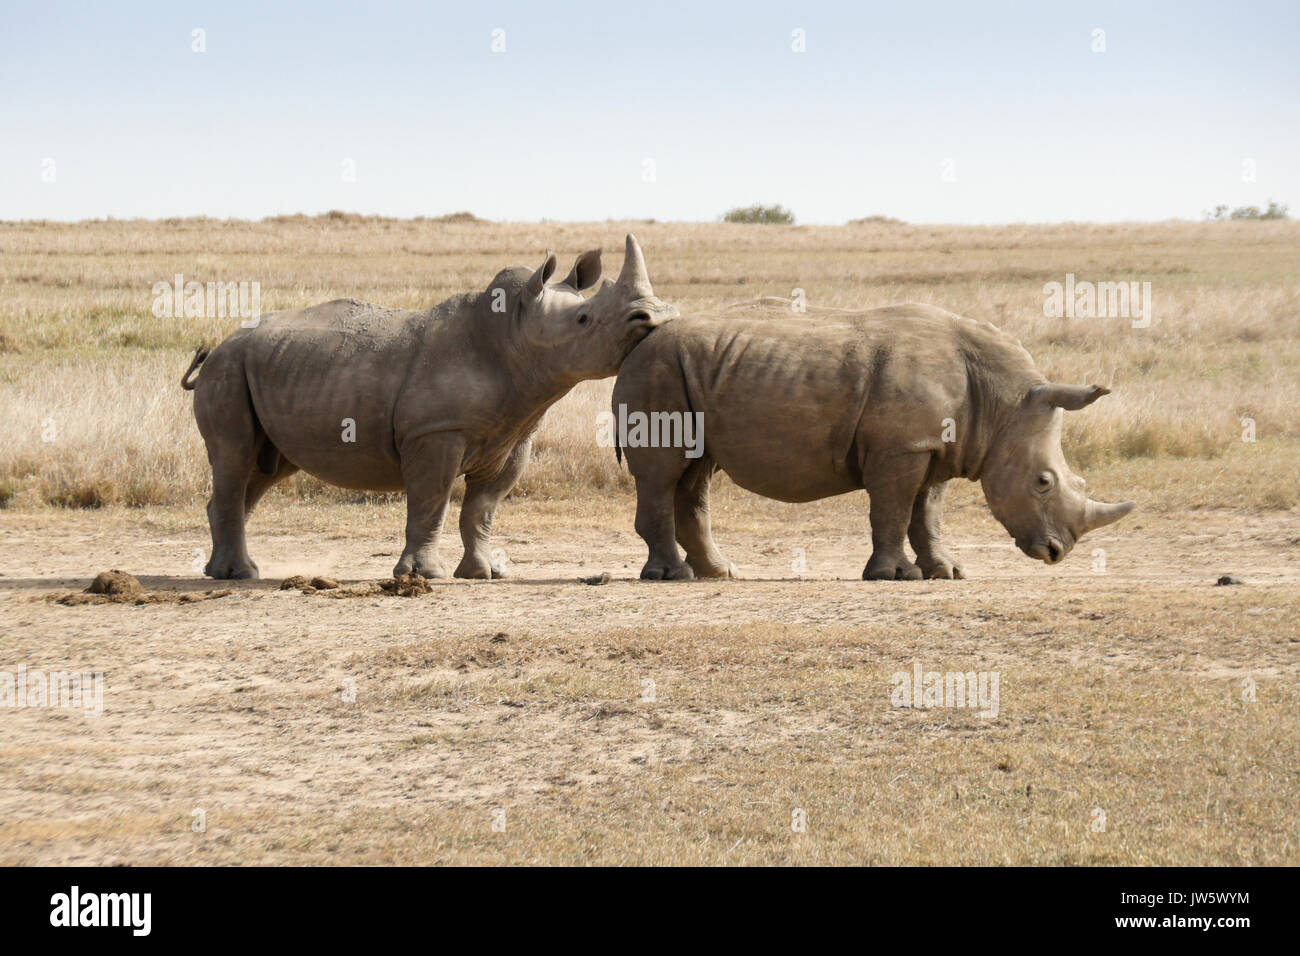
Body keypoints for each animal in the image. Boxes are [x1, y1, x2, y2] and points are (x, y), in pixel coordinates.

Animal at [183, 235, 676, 580]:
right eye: (583, 319)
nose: (653, 317)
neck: (515, 334)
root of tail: (219, 345)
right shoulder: (435, 431)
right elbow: (431, 500)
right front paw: (424, 576)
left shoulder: (513, 436)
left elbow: (482, 509)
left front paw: (484, 574)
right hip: (228, 370)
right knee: (235, 457)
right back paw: (237, 575)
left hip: (267, 369)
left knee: (262, 470)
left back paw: (227, 570)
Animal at [612, 299, 1134, 580]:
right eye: (1043, 482)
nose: (1057, 552)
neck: (1003, 402)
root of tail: (641, 343)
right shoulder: (901, 448)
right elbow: (894, 510)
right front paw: (893, 575)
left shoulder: (934, 445)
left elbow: (927, 513)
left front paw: (945, 573)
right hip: (657, 372)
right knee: (663, 473)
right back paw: (671, 576)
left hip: (687, 372)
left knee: (695, 475)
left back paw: (720, 573)